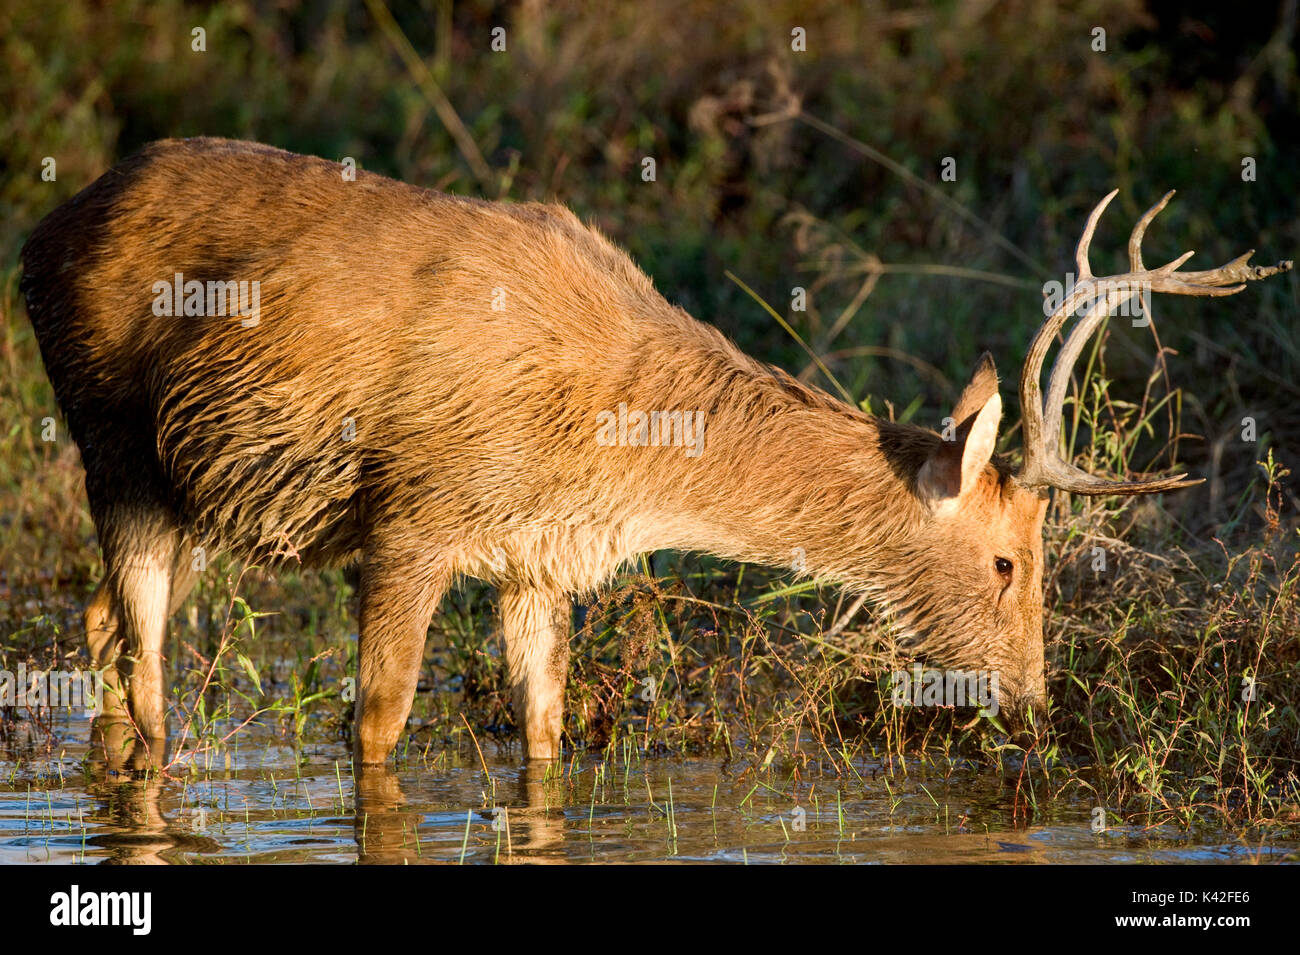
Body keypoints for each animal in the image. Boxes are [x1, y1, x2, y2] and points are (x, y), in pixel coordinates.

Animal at [19, 138, 1290, 765]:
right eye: (1006, 562)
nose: (1029, 696)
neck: (624, 452)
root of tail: (38, 232)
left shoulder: (538, 562)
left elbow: (544, 733)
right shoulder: (411, 518)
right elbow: (376, 725)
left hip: (188, 495)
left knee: (99, 628)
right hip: (111, 443)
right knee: (147, 670)